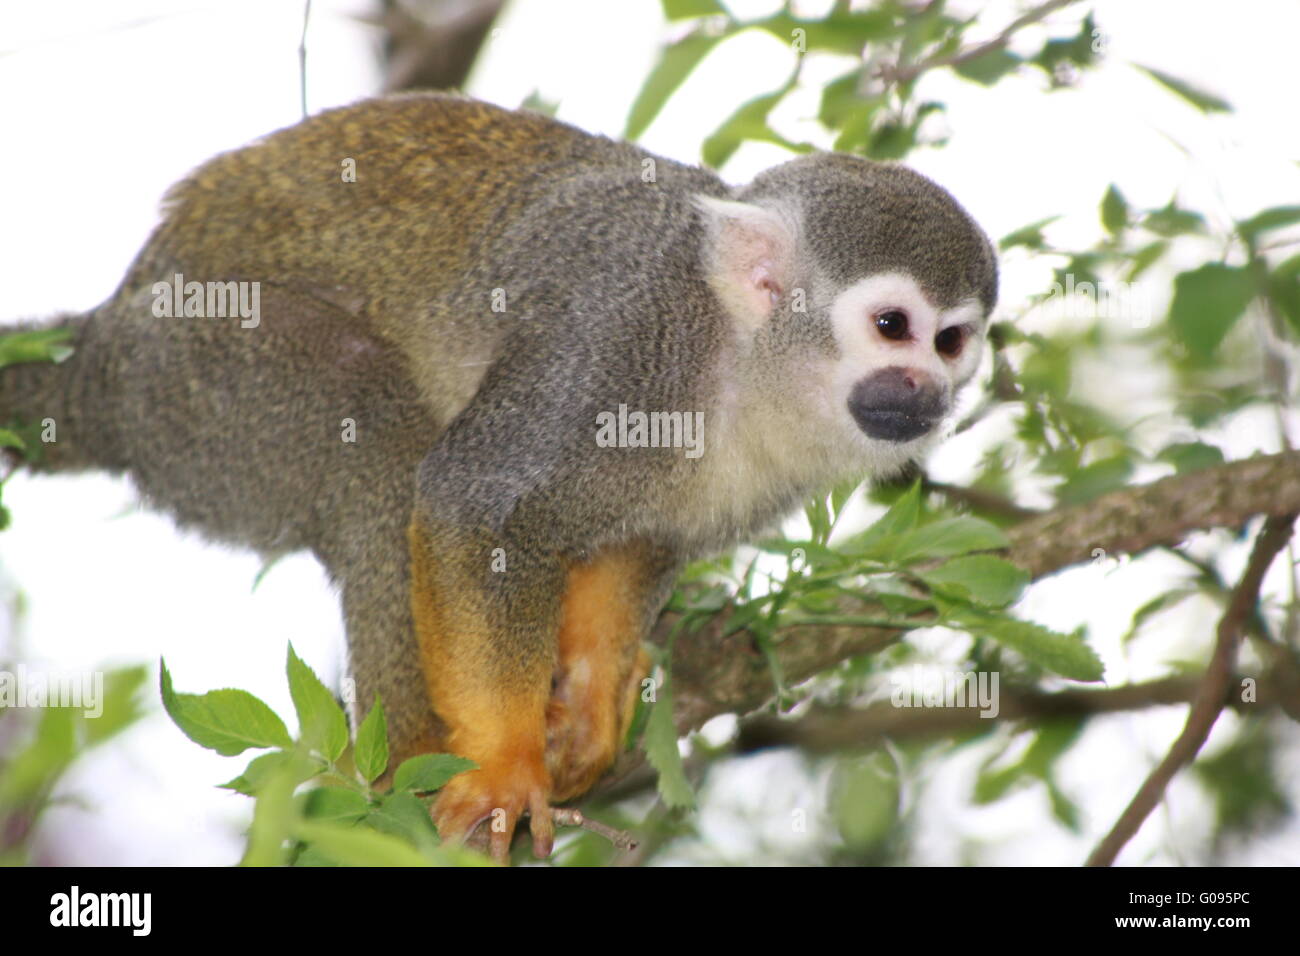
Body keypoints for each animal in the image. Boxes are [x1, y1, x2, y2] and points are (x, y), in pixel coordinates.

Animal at [0, 92, 997, 862]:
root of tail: (95, 356)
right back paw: (397, 775)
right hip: (191, 383)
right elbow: (473, 503)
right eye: (893, 326)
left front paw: (589, 706)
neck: (738, 365)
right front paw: (508, 768)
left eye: (953, 340)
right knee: (375, 439)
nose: (926, 391)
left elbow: (639, 545)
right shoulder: (618, 342)